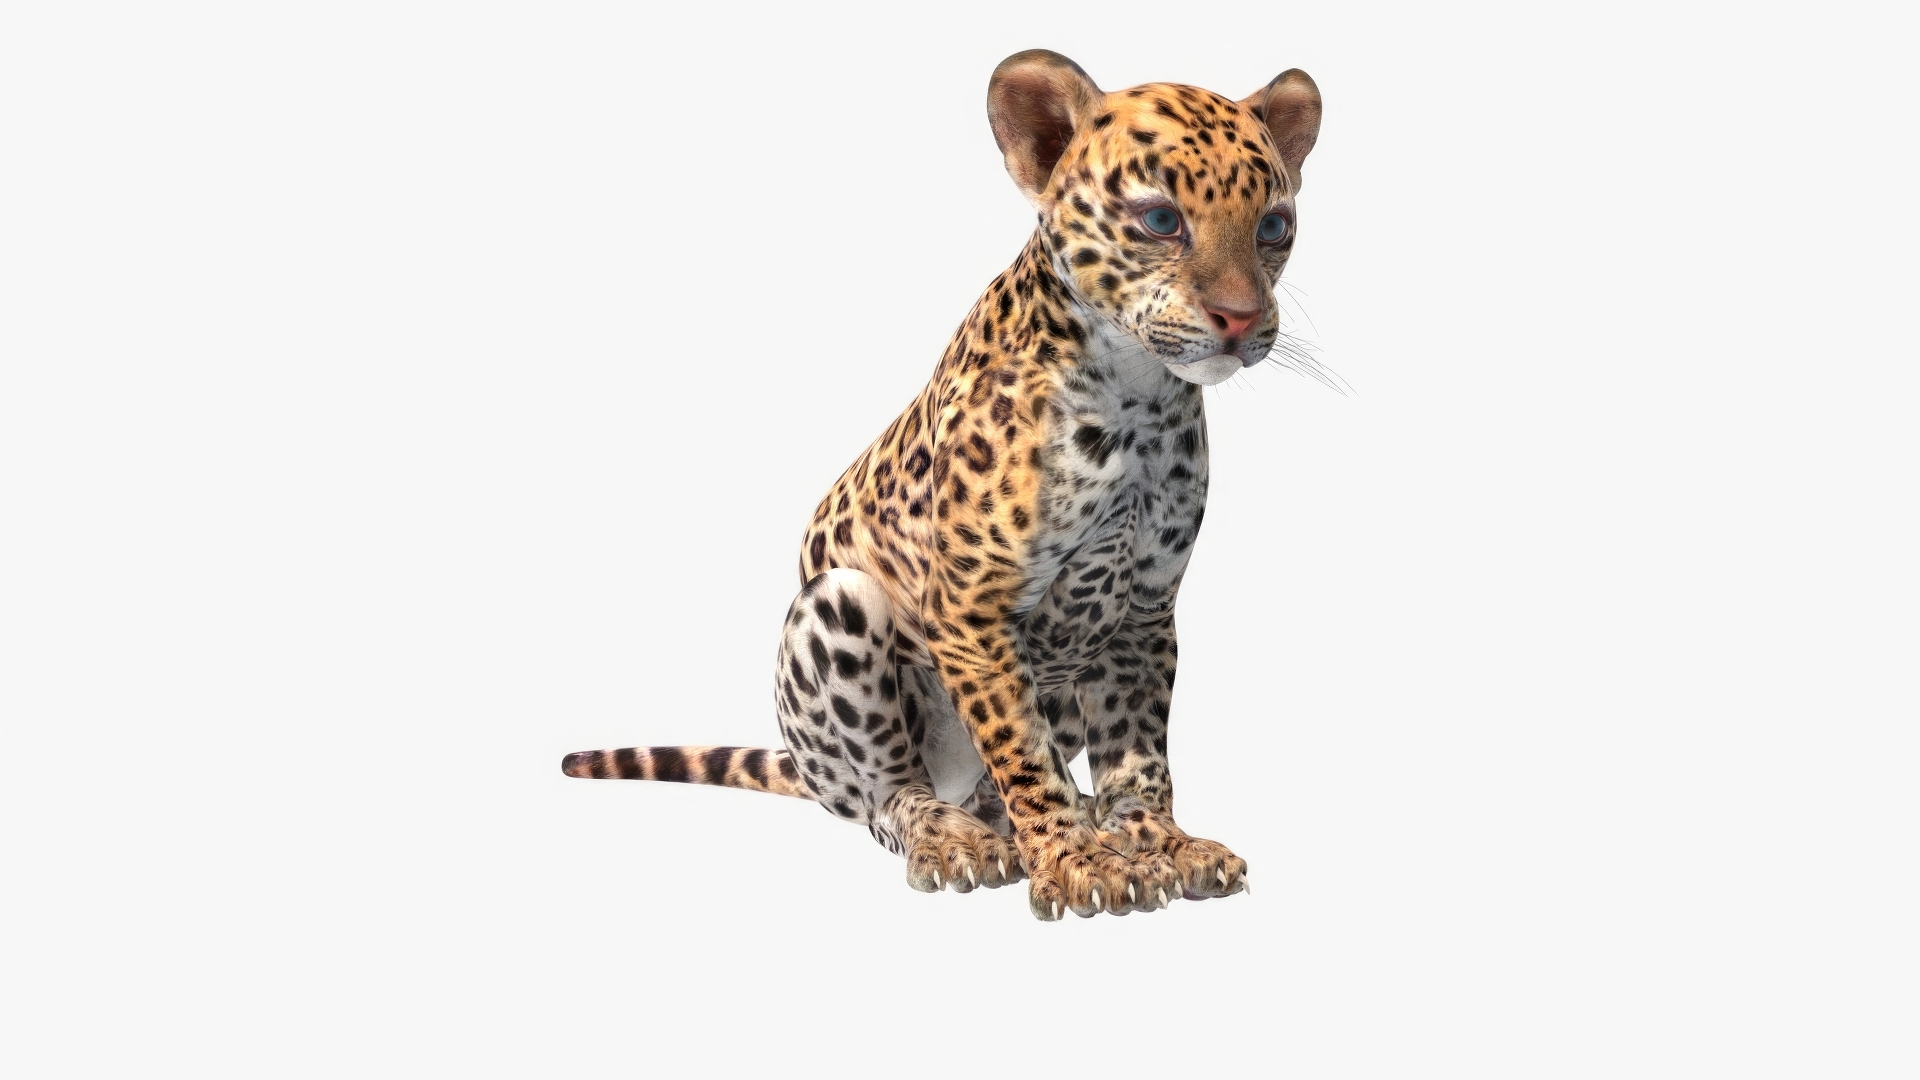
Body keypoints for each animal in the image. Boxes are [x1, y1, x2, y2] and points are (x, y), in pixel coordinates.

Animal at [563, 50, 1323, 920]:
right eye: (1161, 220)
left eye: (1274, 228)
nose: (1240, 319)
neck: (1135, 397)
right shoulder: (973, 611)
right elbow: (1023, 754)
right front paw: (1075, 861)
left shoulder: (1142, 610)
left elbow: (1137, 750)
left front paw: (1155, 840)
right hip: (839, 613)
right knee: (888, 797)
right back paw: (952, 837)